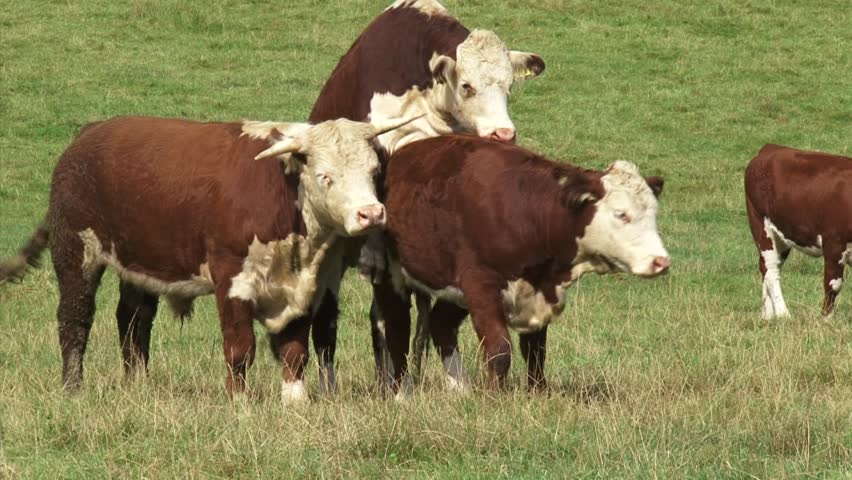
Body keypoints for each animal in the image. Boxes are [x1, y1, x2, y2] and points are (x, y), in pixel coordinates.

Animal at [0, 114, 416, 401]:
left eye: (374, 171)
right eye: (324, 175)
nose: (371, 214)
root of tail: (91, 131)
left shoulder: (305, 288)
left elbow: (295, 349)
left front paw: (294, 401)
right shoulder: (232, 280)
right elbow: (240, 348)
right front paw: (239, 403)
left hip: (138, 262)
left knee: (133, 320)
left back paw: (138, 383)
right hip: (76, 249)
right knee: (75, 318)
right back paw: (73, 388)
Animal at [306, 0, 547, 394]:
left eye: (509, 86)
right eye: (466, 86)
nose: (503, 133)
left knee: (387, 320)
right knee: (327, 321)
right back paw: (332, 387)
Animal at [374, 135, 671, 392]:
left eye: (654, 213)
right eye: (621, 214)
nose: (661, 261)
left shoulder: (539, 292)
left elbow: (535, 351)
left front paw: (537, 392)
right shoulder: (481, 283)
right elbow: (499, 350)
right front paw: (494, 399)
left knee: (441, 325)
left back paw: (461, 389)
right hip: (394, 278)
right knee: (396, 328)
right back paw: (401, 393)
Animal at [745, 144, 852, 319]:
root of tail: (769, 148)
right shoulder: (833, 242)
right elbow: (833, 284)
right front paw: (826, 318)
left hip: (781, 235)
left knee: (764, 267)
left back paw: (767, 314)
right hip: (760, 224)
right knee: (771, 269)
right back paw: (783, 314)